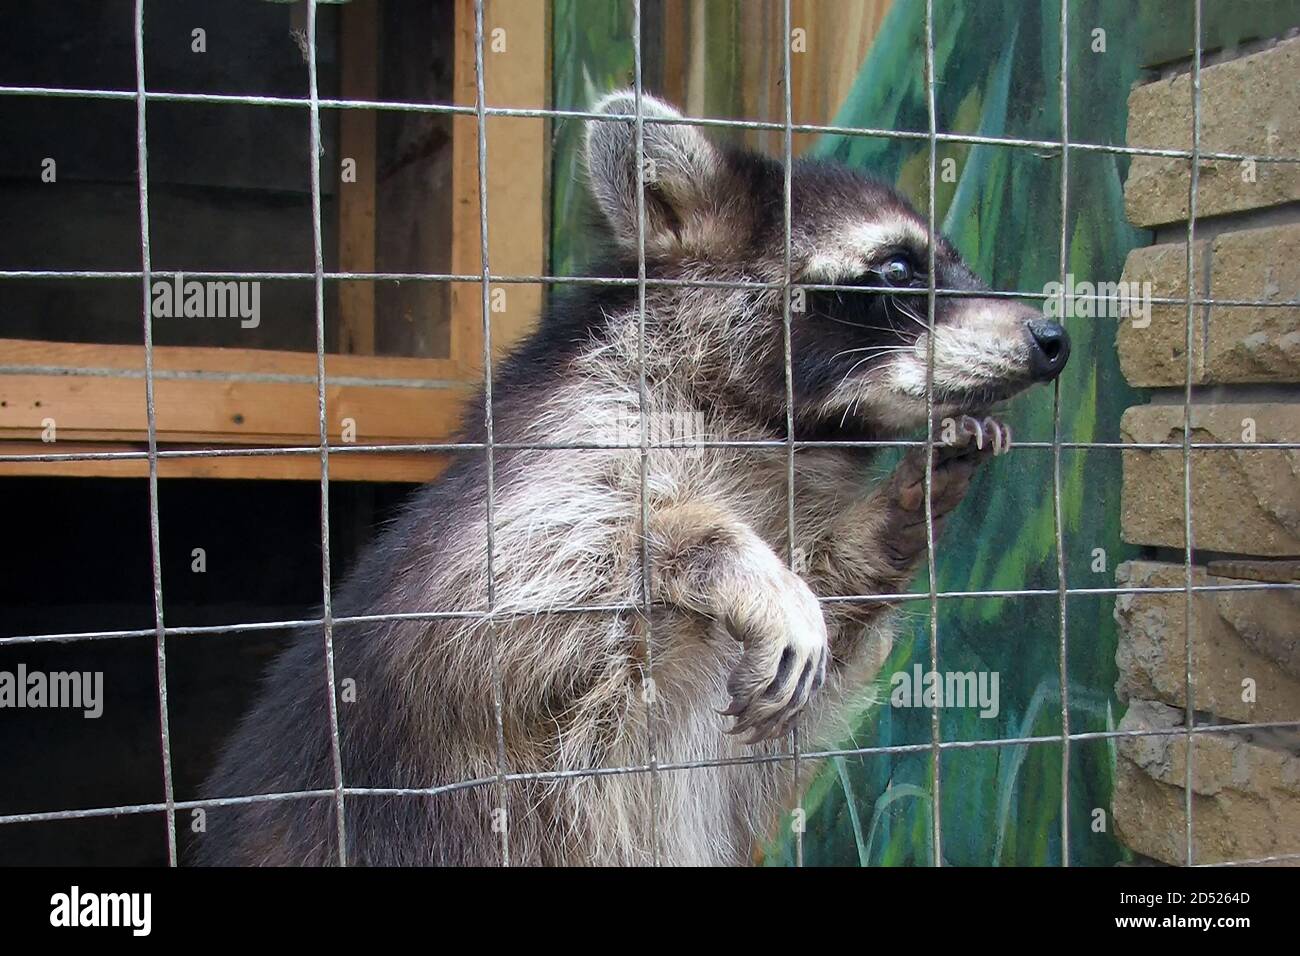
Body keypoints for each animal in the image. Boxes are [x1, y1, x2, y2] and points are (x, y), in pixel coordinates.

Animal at [194, 92, 1069, 867]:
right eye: (897, 268)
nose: (1053, 336)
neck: (772, 433)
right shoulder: (564, 450)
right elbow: (502, 597)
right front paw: (709, 545)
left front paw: (897, 512)